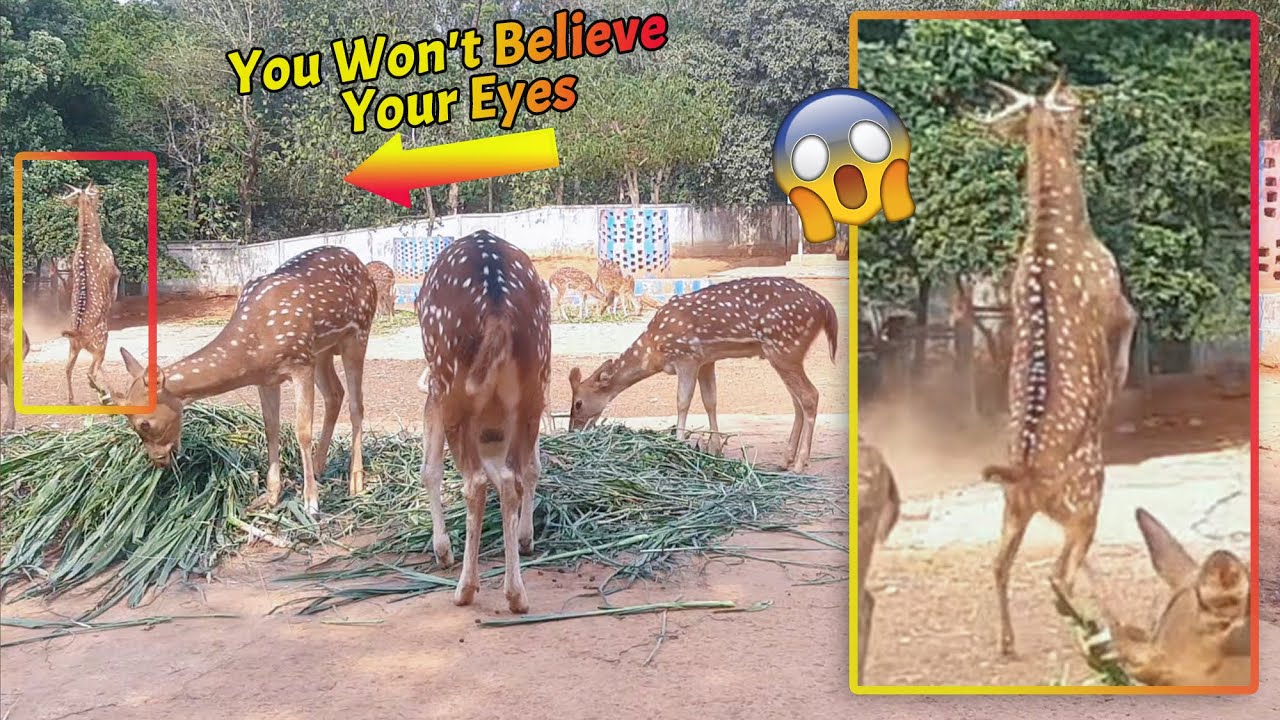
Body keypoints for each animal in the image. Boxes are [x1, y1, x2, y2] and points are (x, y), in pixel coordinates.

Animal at [59, 182, 121, 405]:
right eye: (93, 192)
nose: (101, 193)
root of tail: (77, 334)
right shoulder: (113, 266)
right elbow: (117, 278)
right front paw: (113, 298)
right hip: (101, 340)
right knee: (89, 371)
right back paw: (104, 394)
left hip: (73, 346)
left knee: (68, 368)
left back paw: (72, 398)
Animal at [108, 246, 378, 516]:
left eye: (144, 424)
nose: (159, 461)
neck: (254, 345)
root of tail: (361, 264)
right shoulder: (267, 378)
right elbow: (271, 427)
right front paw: (271, 496)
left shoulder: (301, 363)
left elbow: (302, 431)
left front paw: (311, 502)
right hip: (322, 349)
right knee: (335, 394)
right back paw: (322, 466)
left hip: (358, 331)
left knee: (356, 404)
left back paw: (356, 482)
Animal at [415, 230, 551, 615]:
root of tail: (497, 311)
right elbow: (525, 470)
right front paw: (524, 539)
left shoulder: (435, 399)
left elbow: (430, 470)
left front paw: (442, 551)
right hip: (535, 384)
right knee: (515, 477)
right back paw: (517, 591)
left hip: (449, 386)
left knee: (474, 482)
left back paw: (465, 589)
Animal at [567, 277, 839, 473]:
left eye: (578, 403)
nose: (572, 432)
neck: (654, 350)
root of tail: (826, 307)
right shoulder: (707, 360)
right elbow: (711, 401)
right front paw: (714, 449)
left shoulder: (686, 356)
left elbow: (683, 401)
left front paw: (678, 445)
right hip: (785, 355)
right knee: (797, 401)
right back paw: (785, 459)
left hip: (785, 348)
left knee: (810, 396)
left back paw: (799, 464)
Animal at [976, 75, 1140, 658]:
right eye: (1068, 103)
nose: (1086, 107)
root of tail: (1025, 474)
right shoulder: (1113, 291)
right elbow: (1133, 320)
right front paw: (1118, 379)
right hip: (1087, 492)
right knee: (1056, 572)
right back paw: (1097, 637)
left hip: (1013, 506)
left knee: (1000, 564)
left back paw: (1008, 642)